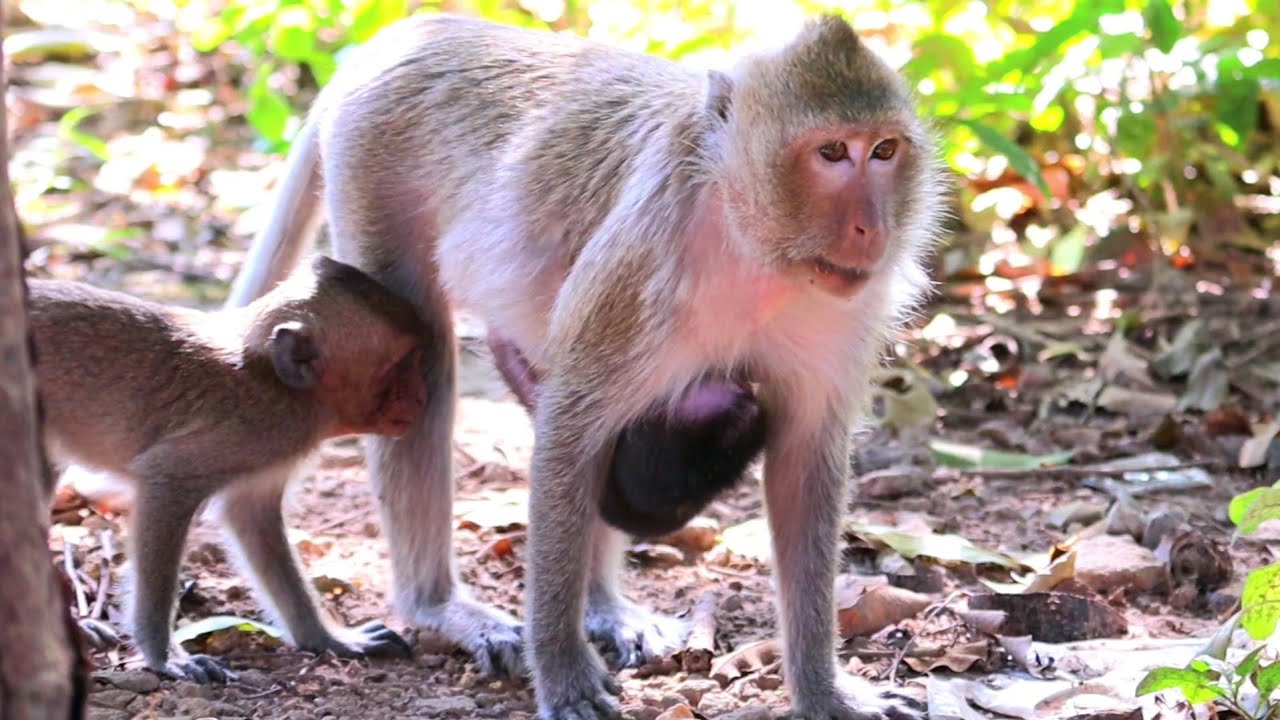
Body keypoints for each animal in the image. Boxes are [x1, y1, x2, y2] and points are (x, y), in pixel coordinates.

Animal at [28, 255, 425, 683]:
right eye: (400, 366)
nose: (422, 397)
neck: (275, 380)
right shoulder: (264, 429)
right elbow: (165, 479)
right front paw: (164, 656)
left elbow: (251, 515)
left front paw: (327, 638)